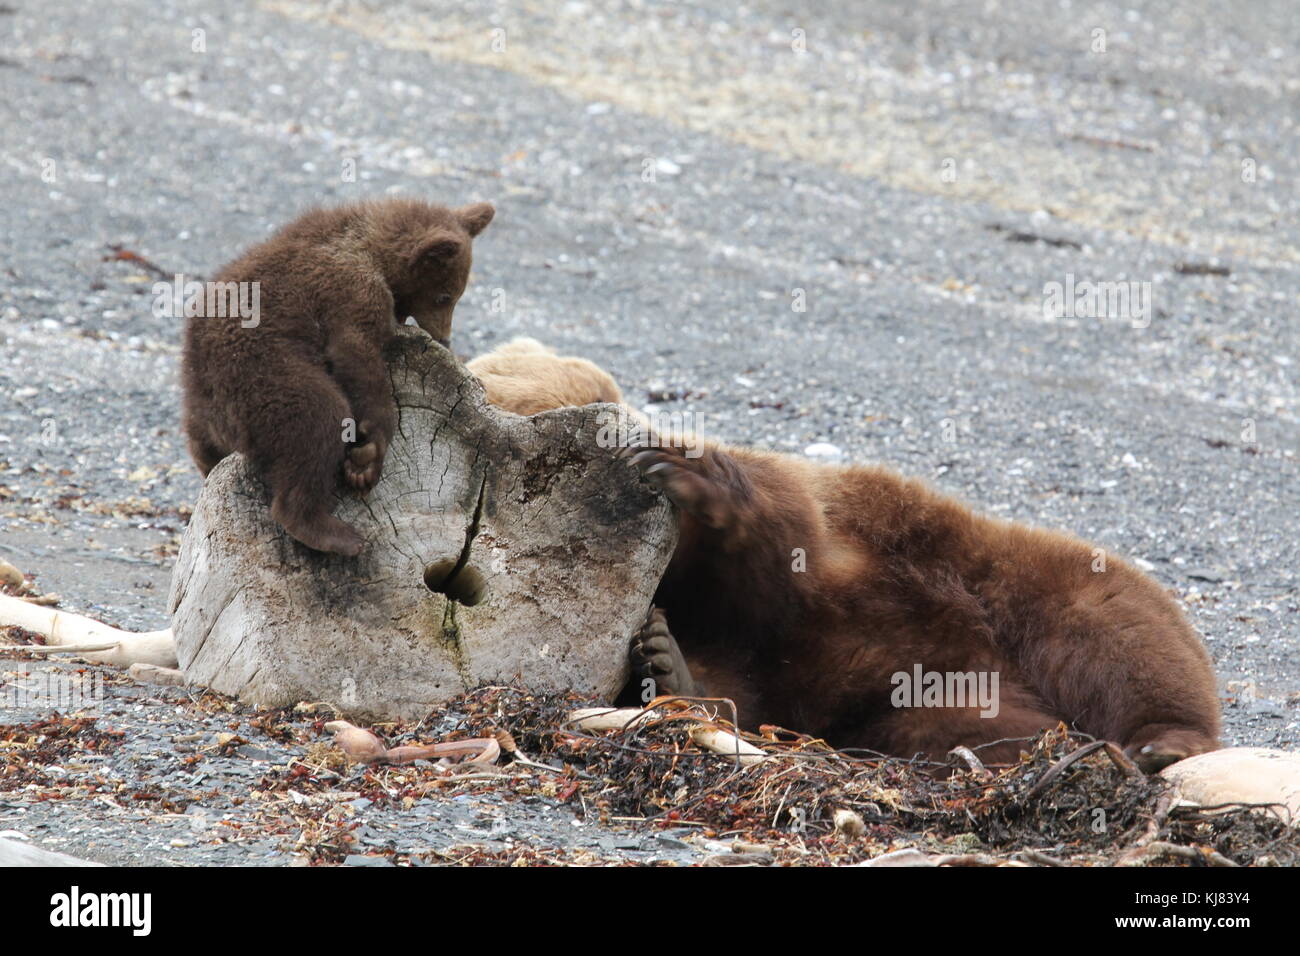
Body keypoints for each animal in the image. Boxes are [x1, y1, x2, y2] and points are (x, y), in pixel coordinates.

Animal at [181, 198, 495, 556]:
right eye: (445, 296)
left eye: (456, 294)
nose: (445, 339)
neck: (371, 249)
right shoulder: (348, 289)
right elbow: (355, 355)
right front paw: (365, 458)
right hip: (263, 372)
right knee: (318, 419)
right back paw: (336, 533)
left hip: (202, 399)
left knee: (201, 442)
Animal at [467, 338, 1222, 773]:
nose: (623, 429)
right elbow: (732, 672)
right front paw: (666, 662)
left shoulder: (820, 543)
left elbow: (772, 537)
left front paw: (686, 468)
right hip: (922, 703)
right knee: (959, 730)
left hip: (1011, 580)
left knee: (1124, 633)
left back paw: (1162, 742)